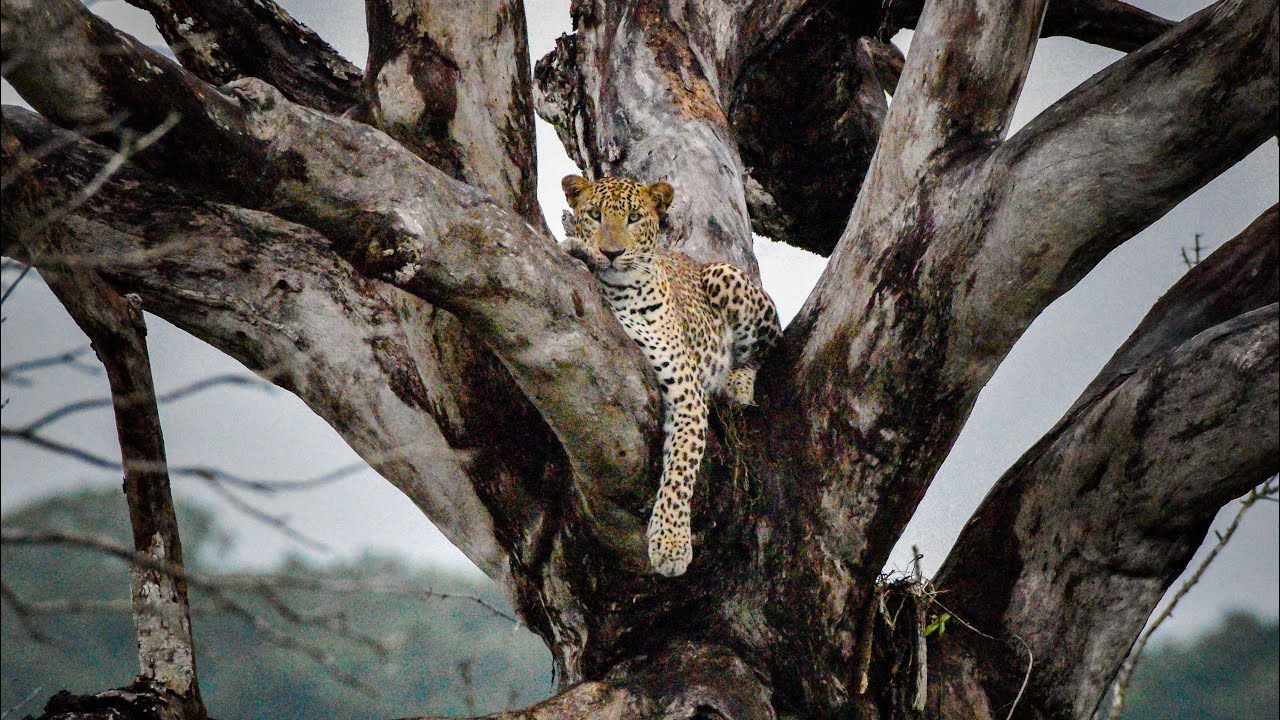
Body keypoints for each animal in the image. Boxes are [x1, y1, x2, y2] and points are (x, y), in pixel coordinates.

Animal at [560, 175, 778, 576]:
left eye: (633, 217)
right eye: (594, 215)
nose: (611, 252)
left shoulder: (688, 396)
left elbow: (679, 473)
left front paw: (671, 543)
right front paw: (578, 250)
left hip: (724, 277)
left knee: (769, 344)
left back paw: (738, 384)